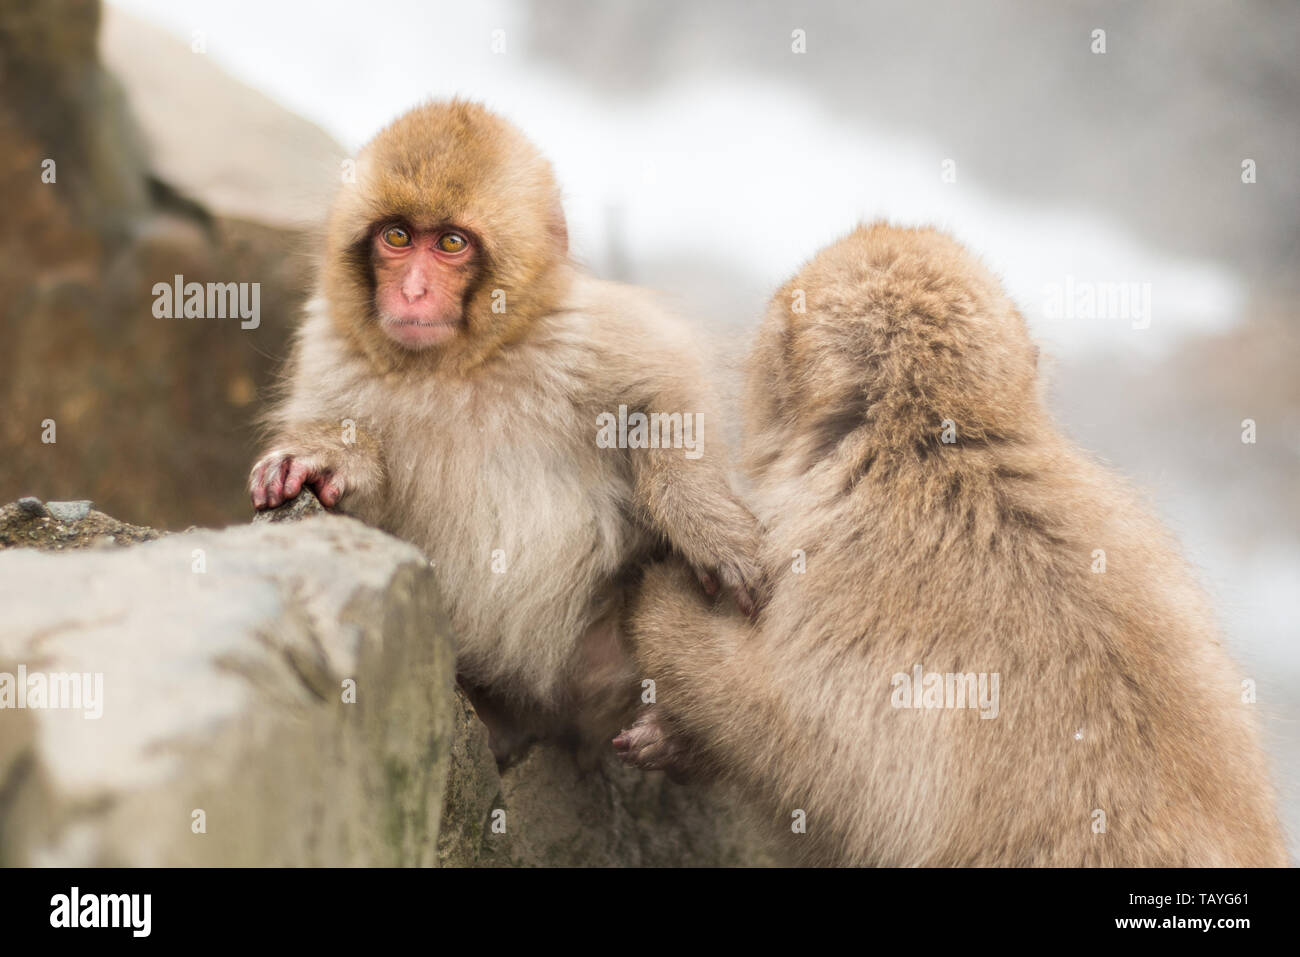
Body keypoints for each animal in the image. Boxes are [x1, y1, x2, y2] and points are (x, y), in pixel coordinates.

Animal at [248, 101, 762, 760]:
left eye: (451, 243)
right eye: (397, 236)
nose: (411, 291)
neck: (456, 363)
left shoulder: (576, 329)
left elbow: (668, 392)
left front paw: (707, 528)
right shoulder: (330, 347)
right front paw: (324, 461)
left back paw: (675, 730)